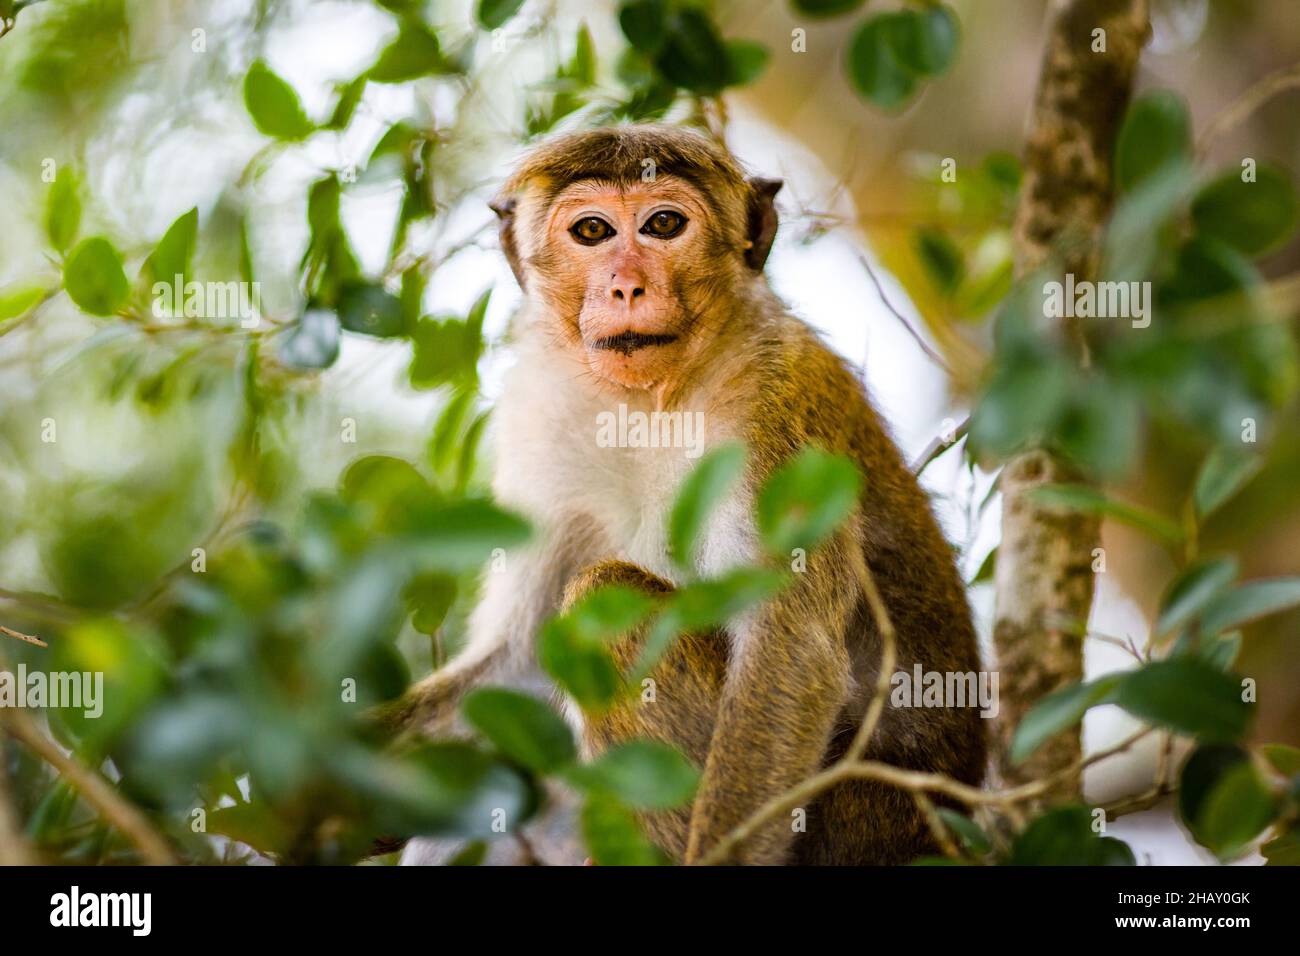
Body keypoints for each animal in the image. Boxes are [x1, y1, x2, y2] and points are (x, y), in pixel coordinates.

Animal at [384, 123, 986, 865]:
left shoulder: (779, 402)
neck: (651, 402)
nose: (627, 286)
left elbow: (790, 652)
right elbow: (516, 665)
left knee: (604, 600)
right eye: (592, 230)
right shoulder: (540, 420)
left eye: (664, 224)